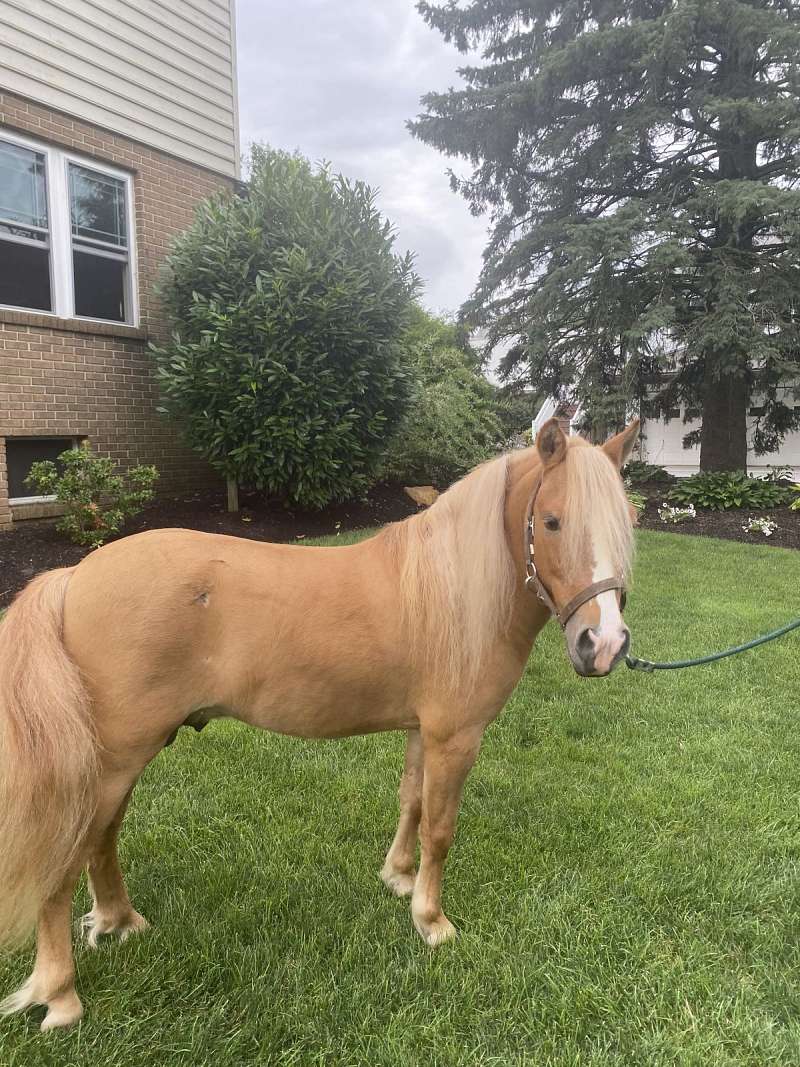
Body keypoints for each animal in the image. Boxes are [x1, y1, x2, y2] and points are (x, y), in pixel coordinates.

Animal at [0, 417, 639, 1030]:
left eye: (626, 523)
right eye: (552, 522)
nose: (603, 646)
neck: (453, 590)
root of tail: (74, 576)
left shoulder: (421, 729)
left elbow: (411, 802)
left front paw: (398, 879)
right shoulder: (455, 736)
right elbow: (439, 827)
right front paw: (432, 921)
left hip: (122, 759)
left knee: (101, 839)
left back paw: (120, 921)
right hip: (114, 760)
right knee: (67, 855)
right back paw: (61, 994)